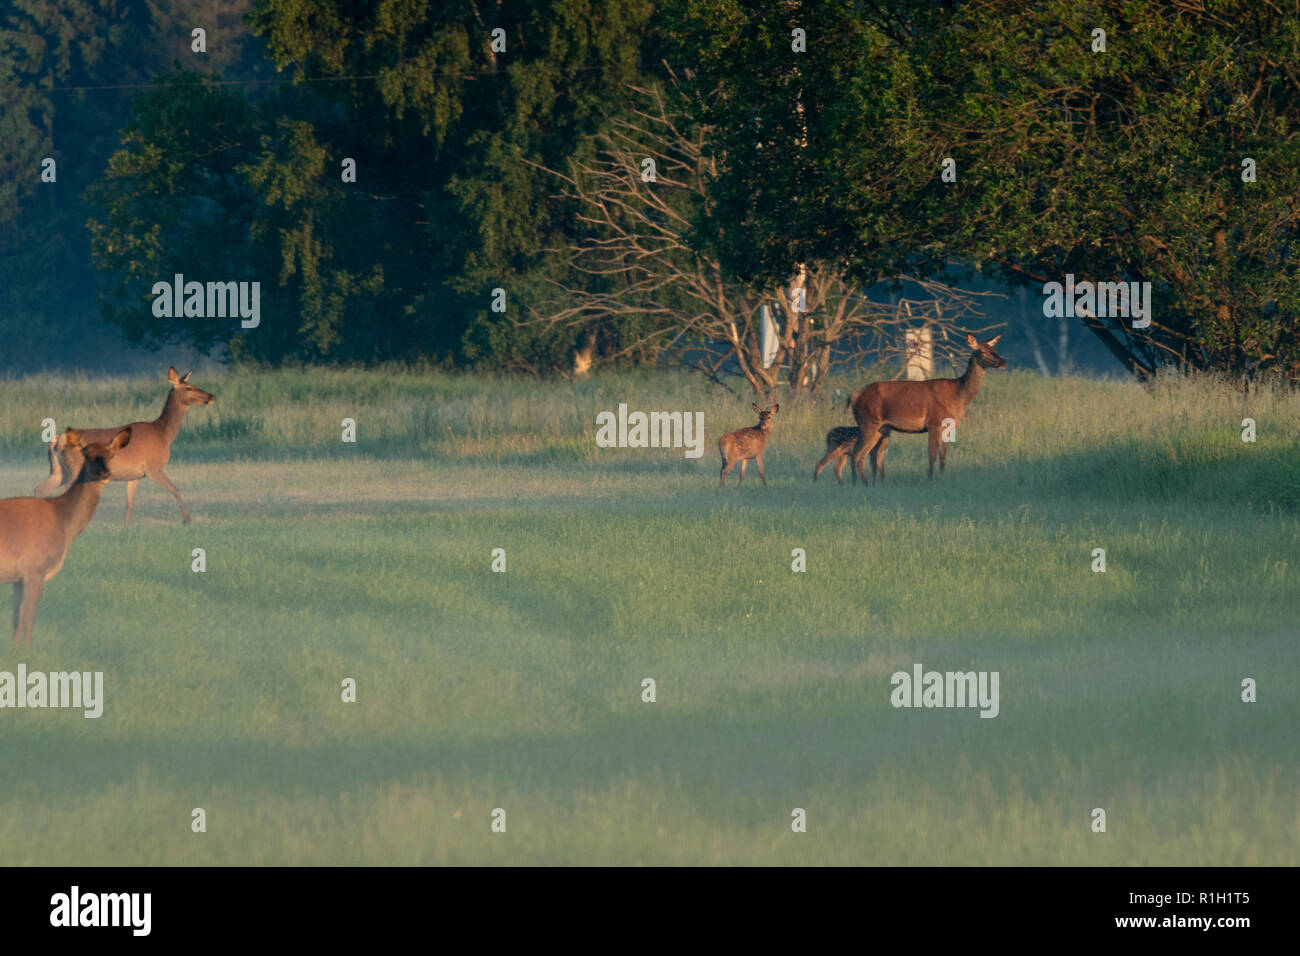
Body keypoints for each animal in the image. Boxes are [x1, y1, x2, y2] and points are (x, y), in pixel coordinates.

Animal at [1, 427, 131, 646]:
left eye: (111, 454)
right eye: (87, 454)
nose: (105, 473)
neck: (63, 522)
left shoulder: (18, 578)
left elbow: (16, 619)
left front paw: (16, 649)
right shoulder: (36, 568)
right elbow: (29, 618)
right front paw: (29, 651)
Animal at [34, 367, 215, 525]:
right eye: (189, 387)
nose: (212, 396)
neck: (163, 435)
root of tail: (58, 439)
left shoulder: (135, 474)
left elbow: (129, 503)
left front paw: (126, 527)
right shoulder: (153, 467)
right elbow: (176, 490)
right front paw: (187, 520)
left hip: (59, 471)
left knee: (40, 489)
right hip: (74, 469)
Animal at [848, 334, 1007, 486]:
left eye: (994, 349)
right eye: (983, 351)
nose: (1003, 362)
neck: (959, 394)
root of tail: (854, 396)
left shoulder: (947, 427)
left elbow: (943, 456)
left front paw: (942, 478)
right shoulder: (934, 422)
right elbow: (932, 455)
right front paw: (930, 480)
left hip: (881, 428)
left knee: (870, 455)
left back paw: (871, 483)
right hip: (868, 422)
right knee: (857, 453)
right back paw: (858, 484)